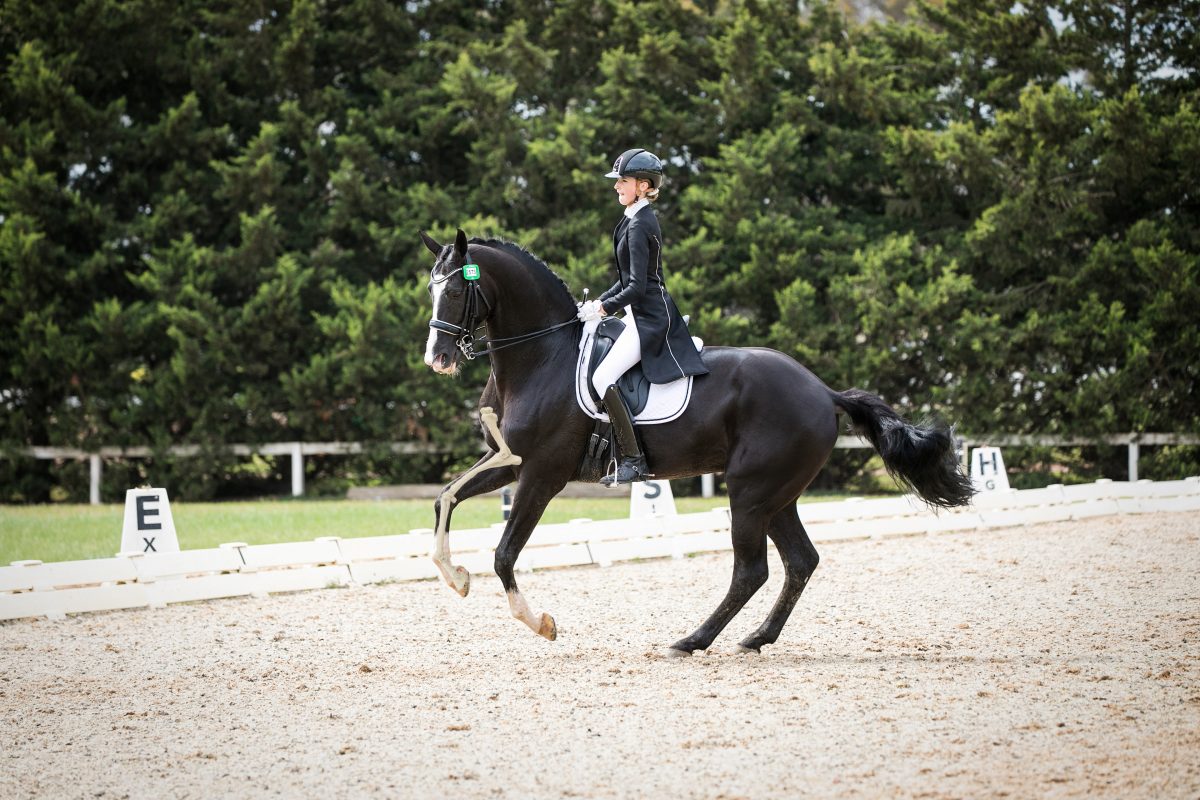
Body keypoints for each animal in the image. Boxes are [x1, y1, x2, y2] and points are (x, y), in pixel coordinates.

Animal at [420, 228, 975, 656]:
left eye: (456, 292)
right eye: (431, 290)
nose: (437, 359)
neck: (541, 356)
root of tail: (823, 390)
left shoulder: (542, 474)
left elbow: (504, 553)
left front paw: (541, 624)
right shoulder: (509, 462)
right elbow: (445, 498)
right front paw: (456, 578)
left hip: (749, 492)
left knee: (751, 570)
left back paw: (692, 640)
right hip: (777, 496)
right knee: (800, 561)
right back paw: (756, 638)